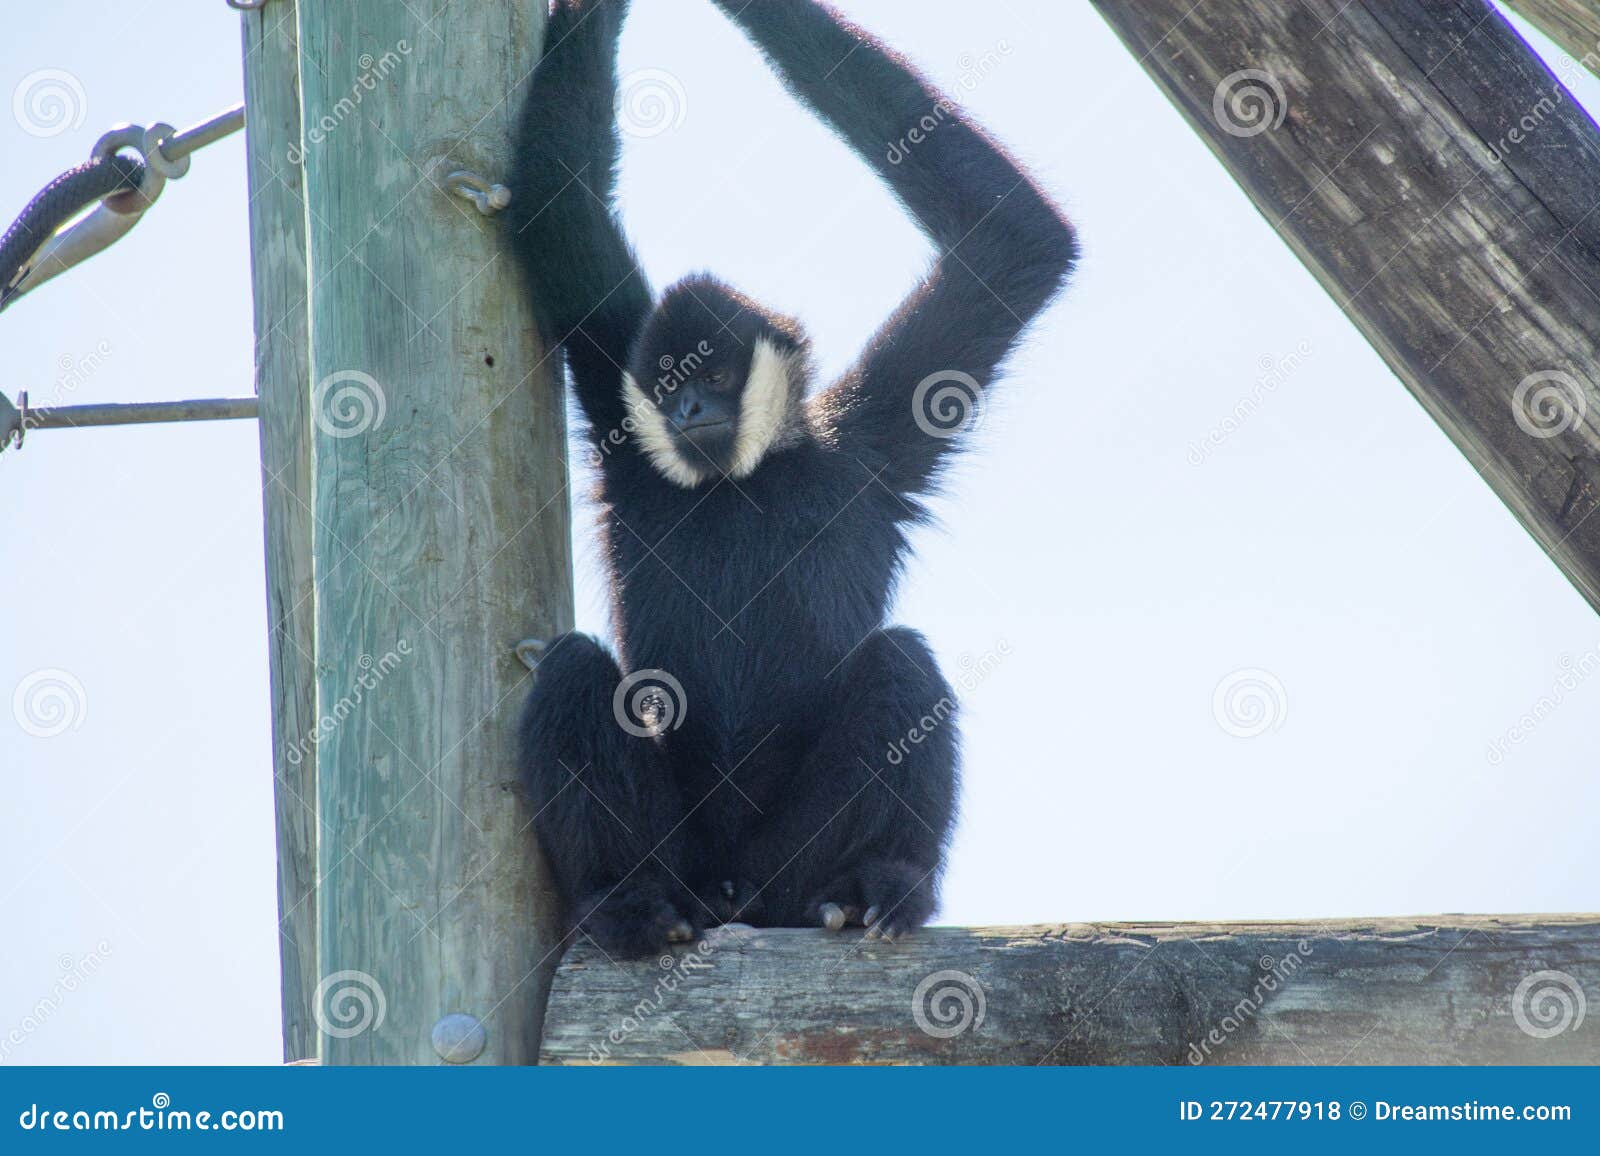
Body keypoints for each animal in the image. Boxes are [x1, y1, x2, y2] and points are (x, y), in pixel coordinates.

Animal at [508, 0, 1077, 957]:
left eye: (715, 373)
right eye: (669, 380)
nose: (690, 409)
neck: (743, 481)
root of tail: (734, 887)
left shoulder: (869, 447)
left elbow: (1013, 242)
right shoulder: (626, 420)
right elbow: (559, 204)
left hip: (790, 856)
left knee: (900, 661)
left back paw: (877, 883)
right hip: (686, 852)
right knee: (576, 668)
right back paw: (626, 899)